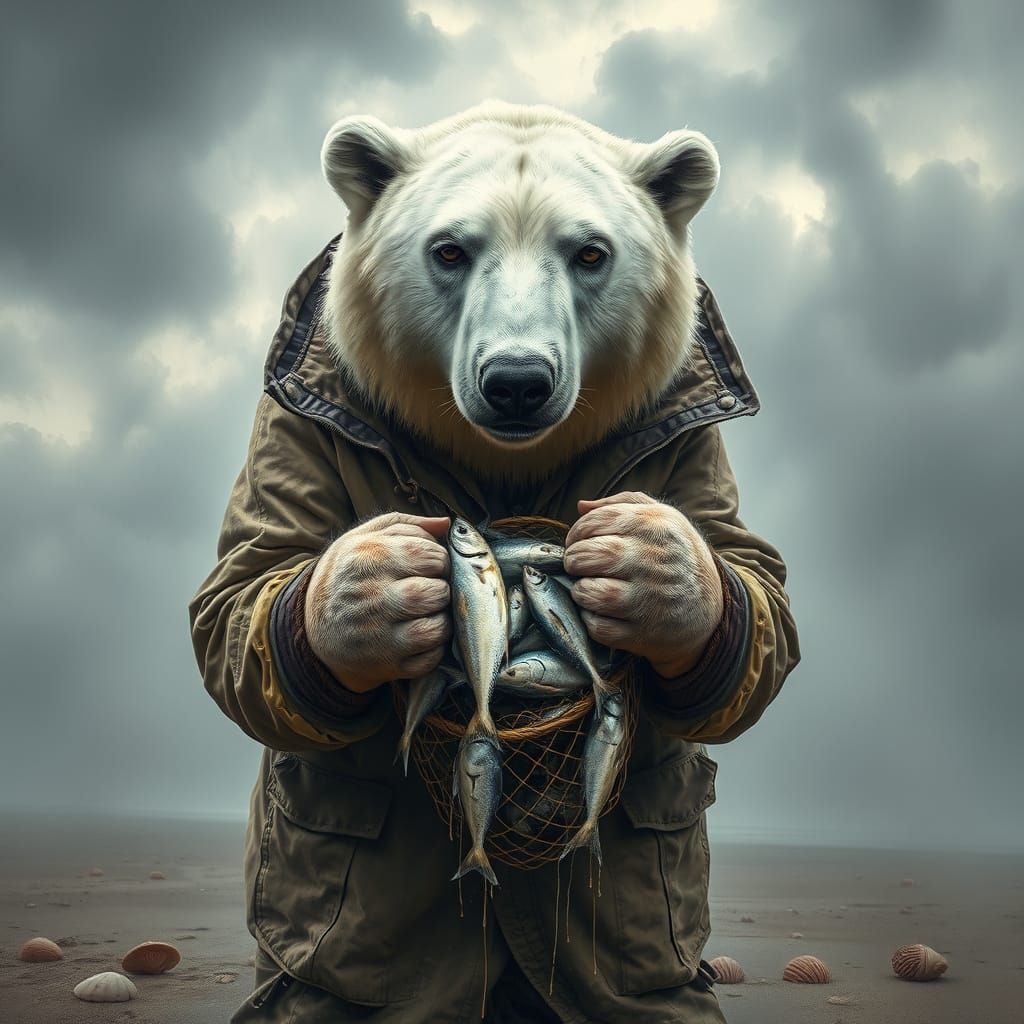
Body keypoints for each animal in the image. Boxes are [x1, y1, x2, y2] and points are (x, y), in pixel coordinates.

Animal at [189, 100, 800, 1024]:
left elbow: (750, 578)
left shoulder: (682, 431)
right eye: (449, 249)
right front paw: (367, 590)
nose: (517, 381)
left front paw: (659, 569)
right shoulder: (295, 419)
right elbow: (240, 590)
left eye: (590, 252)